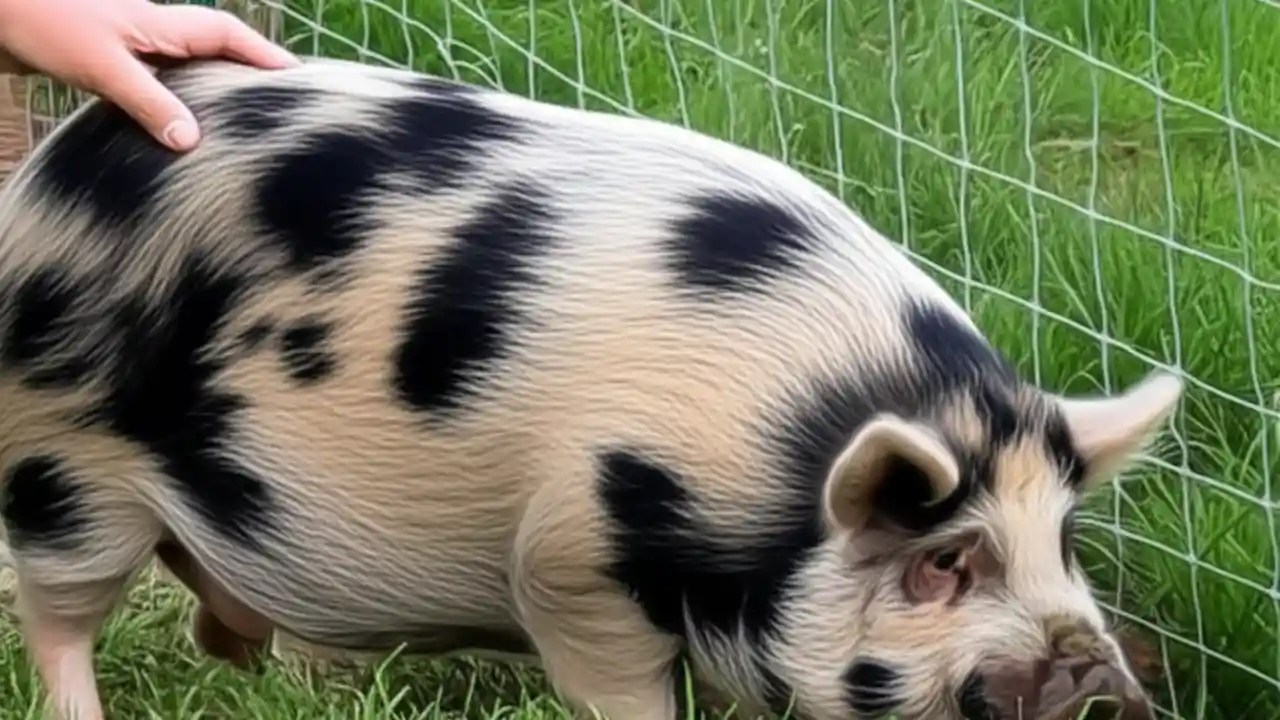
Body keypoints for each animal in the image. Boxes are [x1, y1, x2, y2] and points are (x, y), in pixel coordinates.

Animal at [0, 56, 1180, 720]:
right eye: (942, 563)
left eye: (1063, 542)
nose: (1094, 677)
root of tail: (49, 168)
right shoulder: (573, 566)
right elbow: (623, 689)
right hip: (64, 469)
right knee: (56, 619)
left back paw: (261, 678)